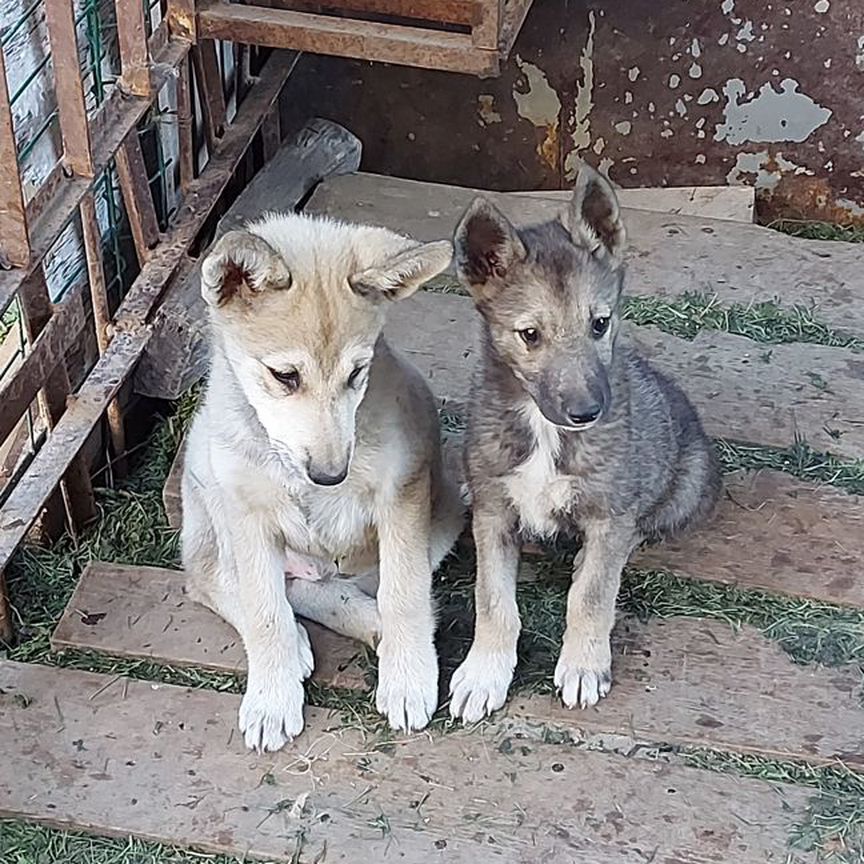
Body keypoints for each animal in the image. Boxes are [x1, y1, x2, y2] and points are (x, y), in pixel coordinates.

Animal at [448, 164, 720, 724]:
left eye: (600, 323)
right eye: (529, 335)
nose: (586, 413)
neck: (545, 433)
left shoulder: (608, 514)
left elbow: (591, 597)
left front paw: (582, 666)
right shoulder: (495, 514)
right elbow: (493, 601)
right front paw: (484, 673)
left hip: (686, 484)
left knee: (638, 532)